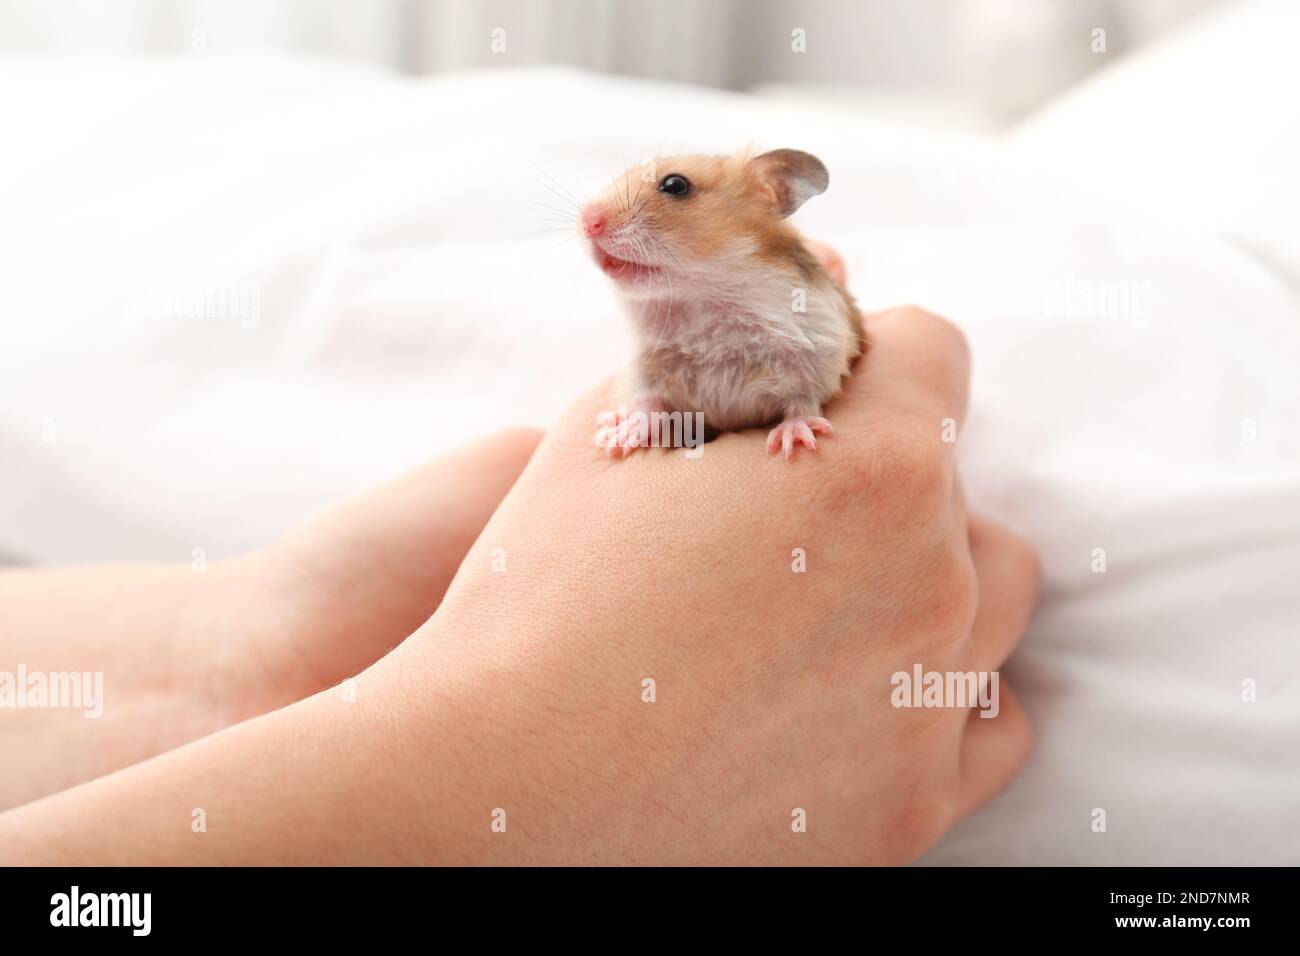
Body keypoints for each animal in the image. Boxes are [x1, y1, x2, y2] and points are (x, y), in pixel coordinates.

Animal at [580, 148, 864, 458]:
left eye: (675, 185)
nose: (586, 220)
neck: (702, 304)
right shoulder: (645, 369)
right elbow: (648, 404)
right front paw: (617, 437)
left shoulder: (819, 351)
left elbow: (803, 401)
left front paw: (793, 442)